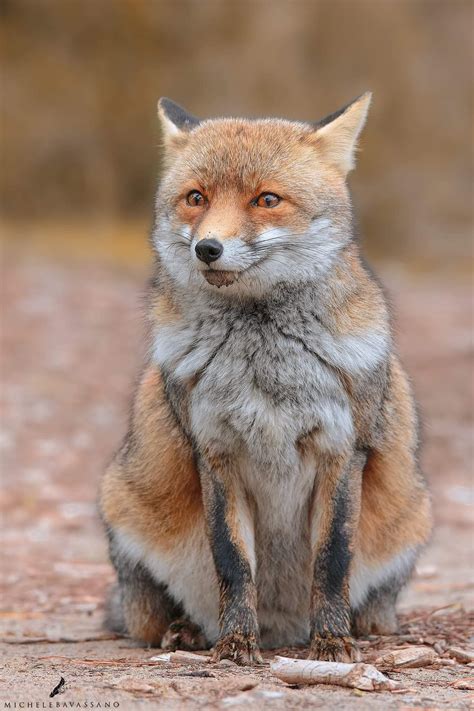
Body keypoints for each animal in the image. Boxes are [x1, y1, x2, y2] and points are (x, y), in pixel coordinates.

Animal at [100, 93, 432, 665]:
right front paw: (236, 644)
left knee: (374, 604)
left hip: (412, 517)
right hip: (126, 509)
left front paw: (332, 641)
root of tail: (284, 631)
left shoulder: (342, 451)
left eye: (267, 199)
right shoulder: (216, 452)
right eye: (196, 198)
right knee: (152, 615)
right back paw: (188, 632)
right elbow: (234, 565)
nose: (207, 248)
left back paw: (364, 630)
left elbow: (332, 562)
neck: (264, 361)